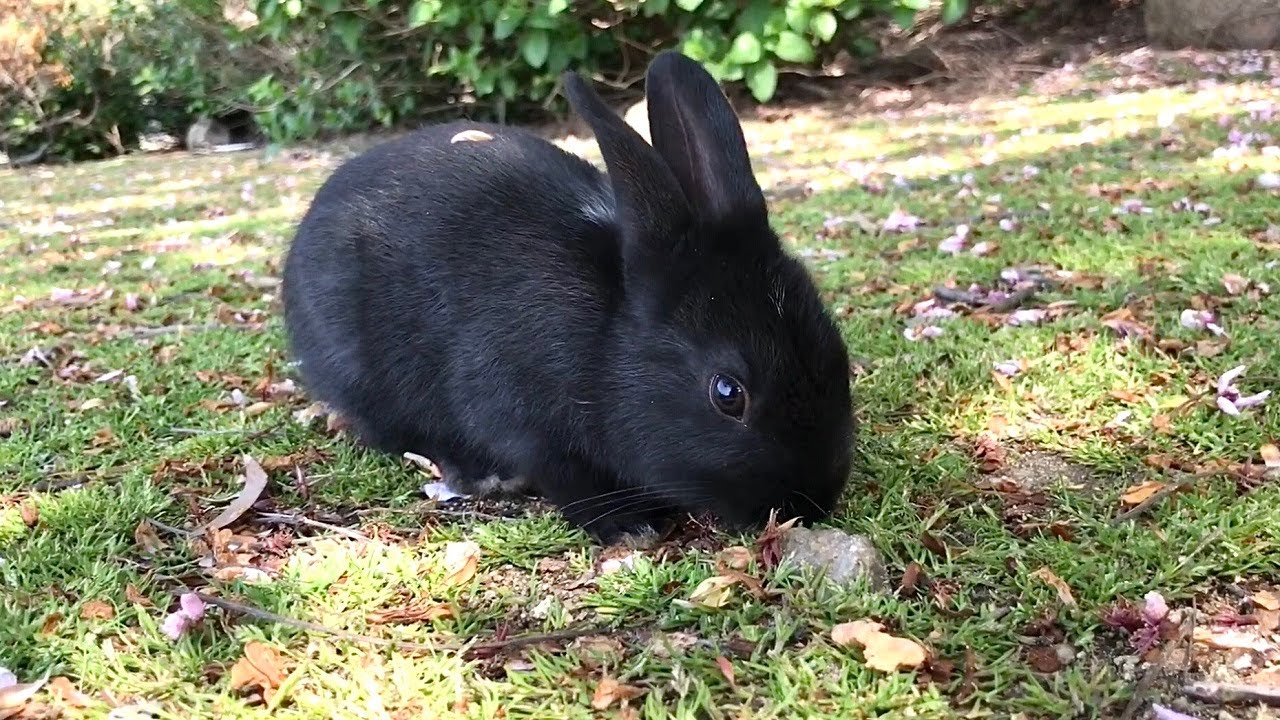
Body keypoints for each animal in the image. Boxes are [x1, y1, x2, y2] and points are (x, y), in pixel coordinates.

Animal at [281, 50, 855, 545]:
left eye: (838, 352)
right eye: (727, 394)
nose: (812, 502)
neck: (604, 341)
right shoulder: (521, 420)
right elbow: (562, 475)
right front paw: (628, 525)